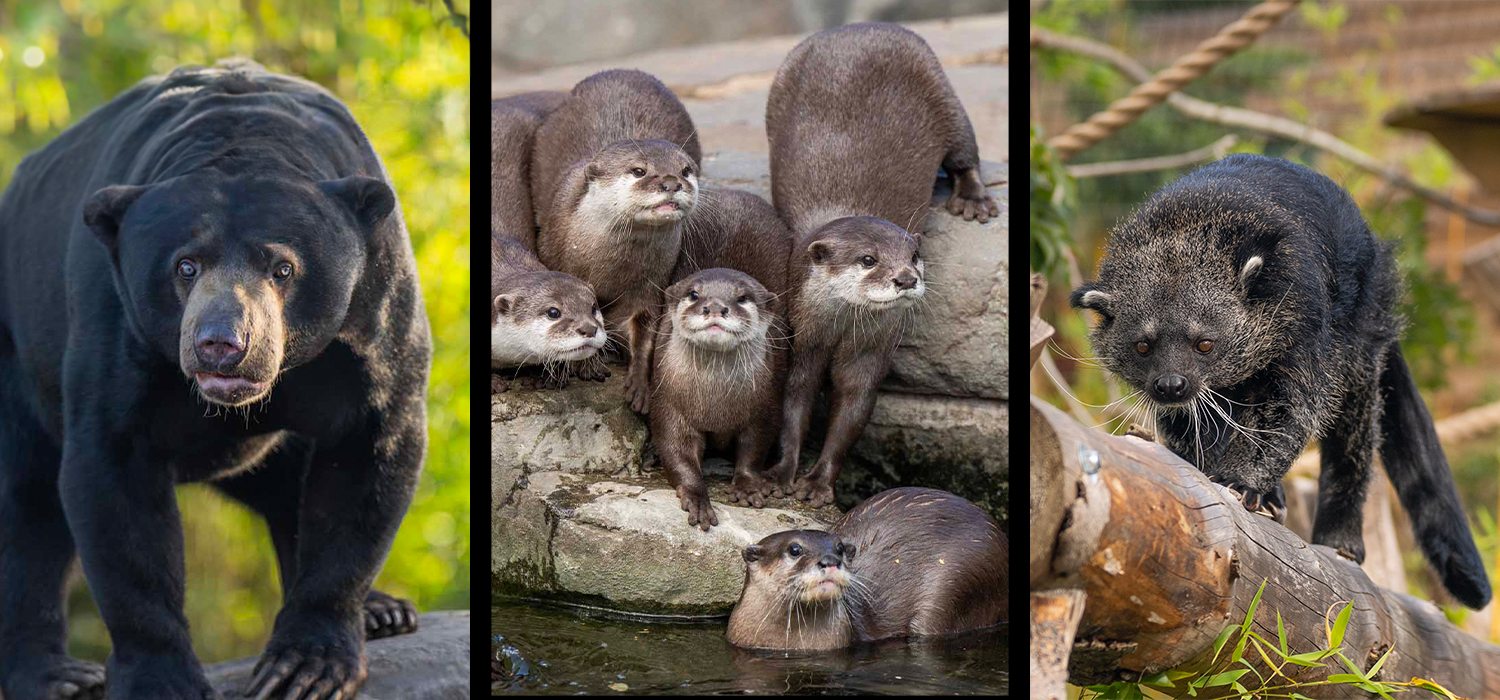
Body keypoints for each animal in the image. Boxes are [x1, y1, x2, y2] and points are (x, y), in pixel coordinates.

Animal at [0, 59, 430, 700]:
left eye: (283, 267)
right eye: (185, 265)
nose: (222, 345)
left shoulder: (372, 316)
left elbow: (368, 457)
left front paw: (306, 667)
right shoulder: (116, 329)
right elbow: (115, 488)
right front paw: (162, 678)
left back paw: (383, 611)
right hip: (16, 347)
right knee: (27, 500)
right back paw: (55, 676)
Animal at [530, 70, 702, 407]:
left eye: (686, 170)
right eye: (638, 171)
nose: (672, 182)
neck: (611, 268)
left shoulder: (649, 286)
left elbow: (643, 331)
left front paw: (640, 385)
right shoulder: (557, 257)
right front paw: (586, 365)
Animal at [651, 268, 785, 530]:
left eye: (742, 298)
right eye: (694, 294)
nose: (714, 307)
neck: (717, 406)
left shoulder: (765, 408)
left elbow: (754, 449)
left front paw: (747, 486)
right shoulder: (669, 405)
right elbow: (676, 449)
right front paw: (697, 497)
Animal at [763, 23, 997, 508]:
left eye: (914, 257)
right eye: (868, 260)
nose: (905, 278)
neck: (841, 330)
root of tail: (858, 27)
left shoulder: (874, 347)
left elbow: (853, 409)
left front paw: (819, 484)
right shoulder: (805, 333)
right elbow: (795, 400)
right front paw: (781, 474)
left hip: (944, 95)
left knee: (965, 152)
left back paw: (972, 199)